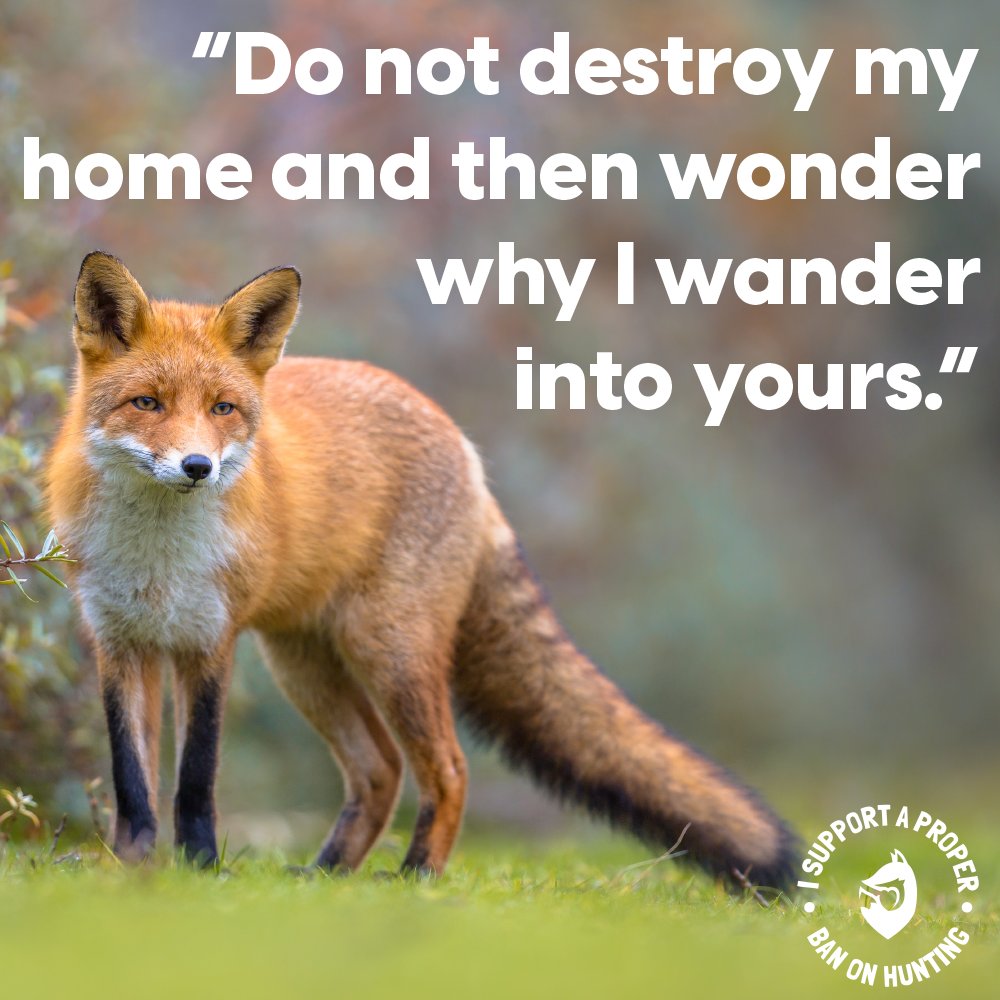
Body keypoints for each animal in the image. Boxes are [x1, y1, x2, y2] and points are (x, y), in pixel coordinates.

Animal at [45, 250, 797, 889]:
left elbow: (197, 777)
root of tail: (459, 439)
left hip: (390, 650)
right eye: (147, 403)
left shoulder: (210, 643)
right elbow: (132, 777)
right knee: (381, 769)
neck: (156, 558)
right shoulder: (120, 643)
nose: (197, 467)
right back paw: (326, 874)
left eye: (221, 409)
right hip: (307, 663)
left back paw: (418, 878)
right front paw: (133, 870)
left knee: (448, 768)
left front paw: (199, 871)